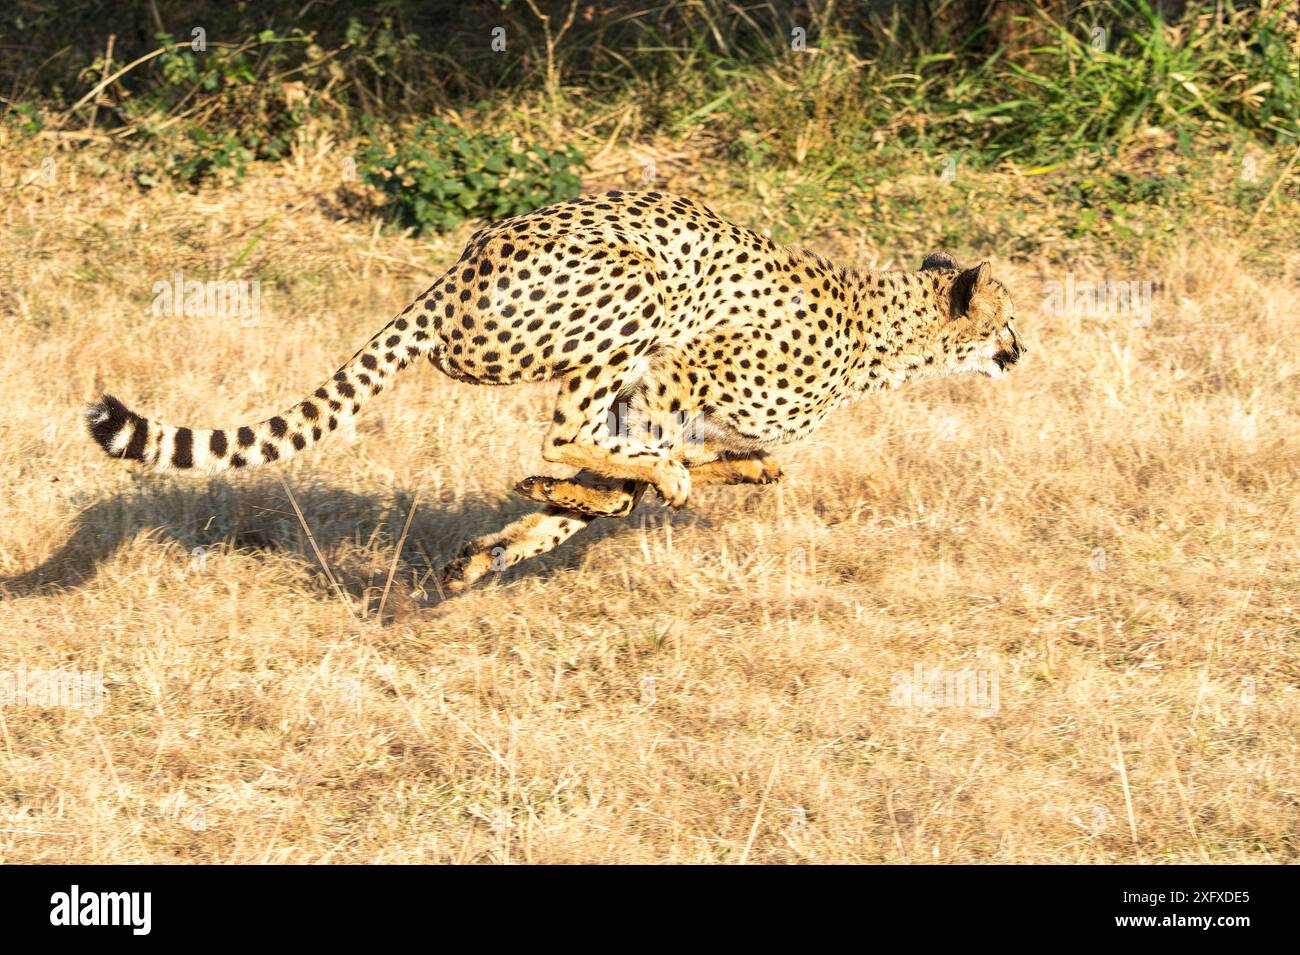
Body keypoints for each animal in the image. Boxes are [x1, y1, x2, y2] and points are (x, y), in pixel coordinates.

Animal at [85, 190, 1024, 594]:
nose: (1022, 351)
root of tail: (459, 265)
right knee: (562, 432)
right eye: (1007, 318)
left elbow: (595, 494)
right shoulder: (680, 373)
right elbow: (623, 468)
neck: (887, 334)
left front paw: (496, 548)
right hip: (639, 287)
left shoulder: (657, 402)